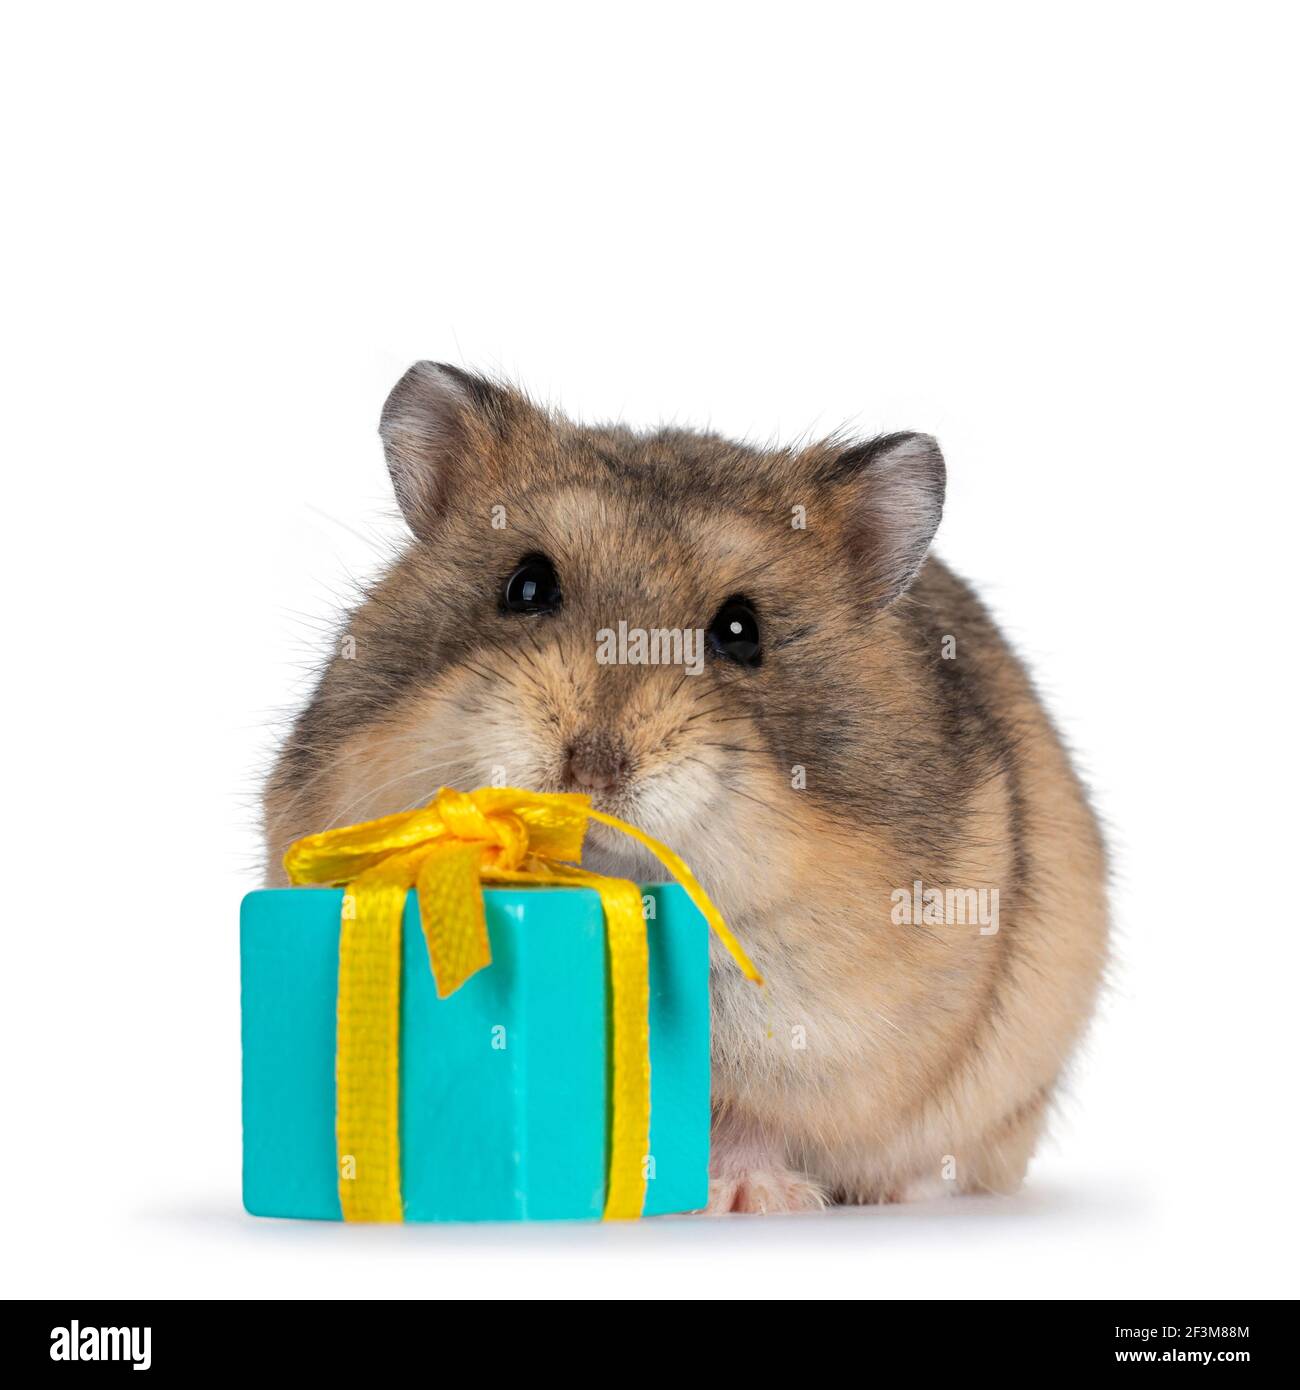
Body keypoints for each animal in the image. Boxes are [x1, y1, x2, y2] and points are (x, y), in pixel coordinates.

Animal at [264, 362, 1108, 1213]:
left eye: (741, 632)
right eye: (526, 586)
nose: (592, 768)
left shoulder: (824, 1040)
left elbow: (748, 1118)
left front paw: (748, 1197)